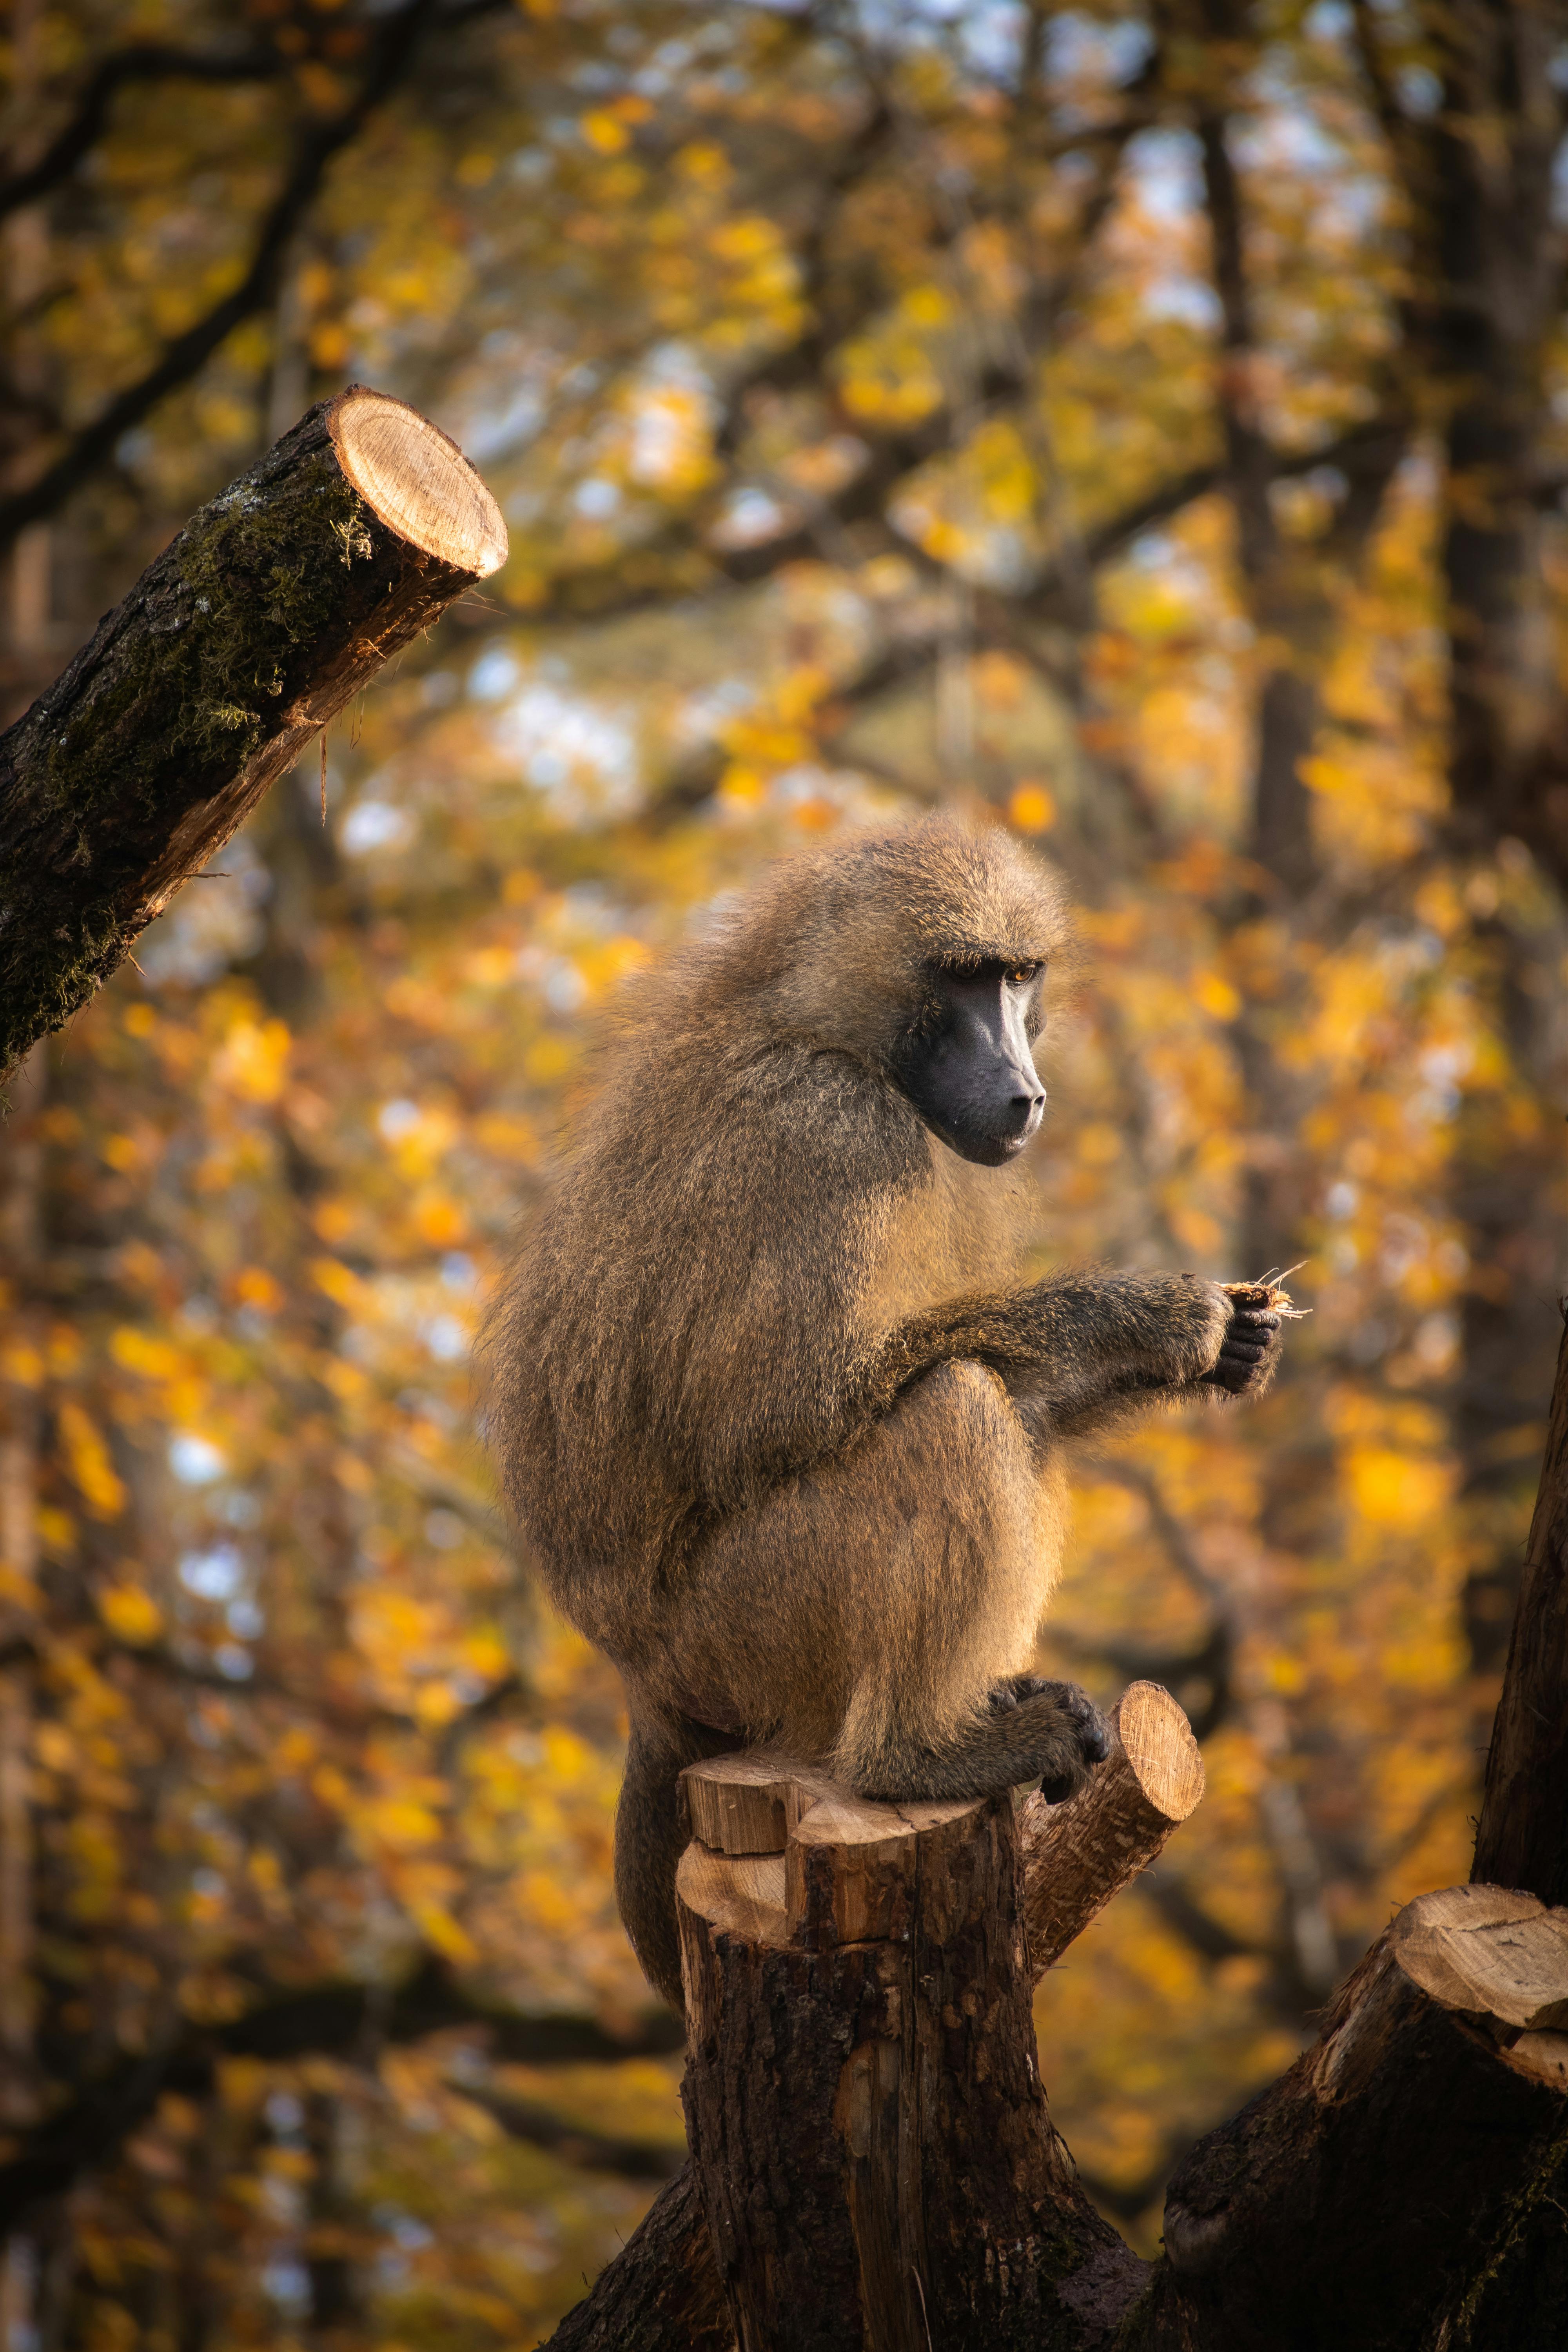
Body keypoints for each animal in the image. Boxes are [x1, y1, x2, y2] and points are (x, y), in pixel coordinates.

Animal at [483, 817, 1282, 2007]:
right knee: (956, 1403)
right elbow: (780, 1416)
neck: (818, 1022)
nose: (1024, 1095)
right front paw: (1153, 1318)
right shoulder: (832, 1127)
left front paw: (1230, 1343)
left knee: (1007, 1413)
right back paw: (915, 1757)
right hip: (745, 1627)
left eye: (1019, 975)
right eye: (959, 976)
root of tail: (643, 1683)